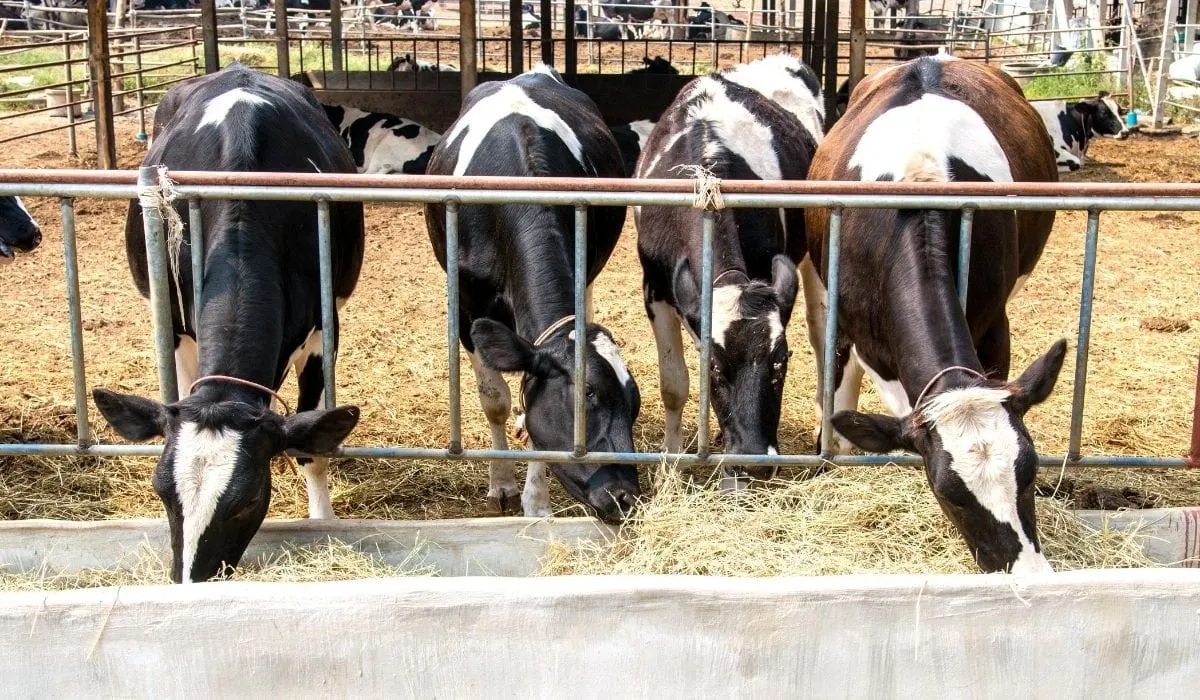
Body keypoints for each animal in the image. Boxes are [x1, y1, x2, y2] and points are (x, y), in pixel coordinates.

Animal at [91, 65, 365, 583]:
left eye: (248, 502)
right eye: (162, 493)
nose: (190, 581)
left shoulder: (325, 331)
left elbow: (311, 447)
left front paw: (323, 520)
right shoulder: (178, 328)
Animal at [424, 65, 640, 523]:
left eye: (635, 402)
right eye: (588, 394)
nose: (626, 497)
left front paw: (536, 503)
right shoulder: (469, 307)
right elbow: (496, 401)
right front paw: (503, 485)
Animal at [634, 53, 824, 489]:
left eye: (781, 361)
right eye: (715, 367)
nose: (754, 460)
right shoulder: (655, 288)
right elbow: (673, 382)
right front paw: (670, 466)